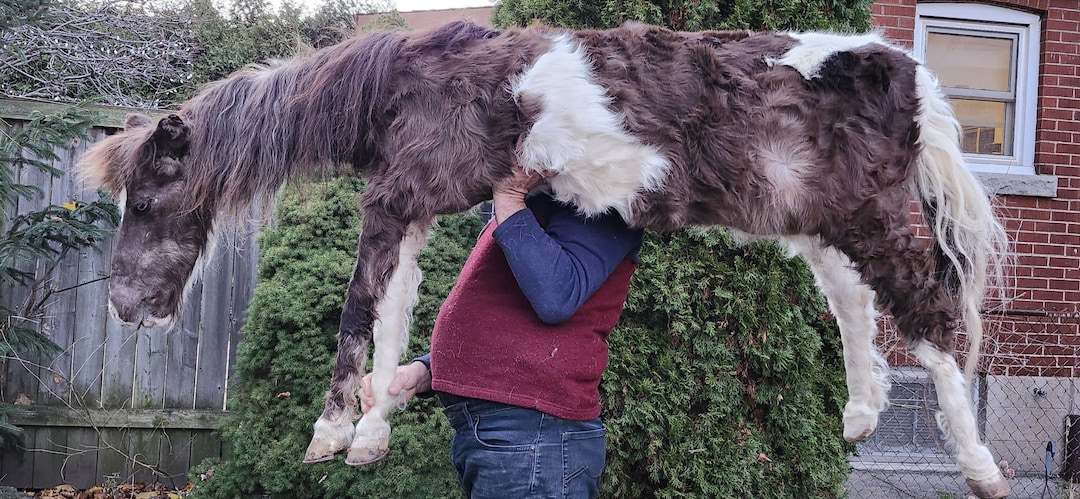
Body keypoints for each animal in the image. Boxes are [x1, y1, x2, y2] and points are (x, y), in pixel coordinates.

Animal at [75, 21, 1012, 498]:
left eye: (147, 201)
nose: (125, 306)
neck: (404, 83)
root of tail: (905, 71)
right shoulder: (412, 207)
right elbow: (396, 319)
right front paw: (372, 435)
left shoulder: (392, 199)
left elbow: (356, 311)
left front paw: (330, 432)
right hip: (813, 218)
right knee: (855, 301)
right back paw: (859, 413)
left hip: (870, 215)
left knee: (935, 322)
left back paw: (980, 467)